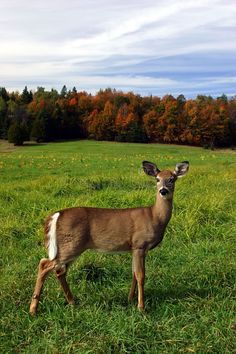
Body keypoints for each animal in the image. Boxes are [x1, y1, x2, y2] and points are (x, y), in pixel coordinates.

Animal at [29, 160, 189, 316]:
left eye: (172, 179)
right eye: (157, 179)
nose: (163, 191)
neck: (154, 217)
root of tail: (55, 215)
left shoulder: (135, 248)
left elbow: (134, 274)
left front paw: (130, 300)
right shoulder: (139, 244)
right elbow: (141, 275)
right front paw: (141, 308)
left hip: (69, 246)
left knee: (59, 271)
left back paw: (72, 302)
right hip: (71, 245)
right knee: (44, 264)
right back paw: (33, 309)